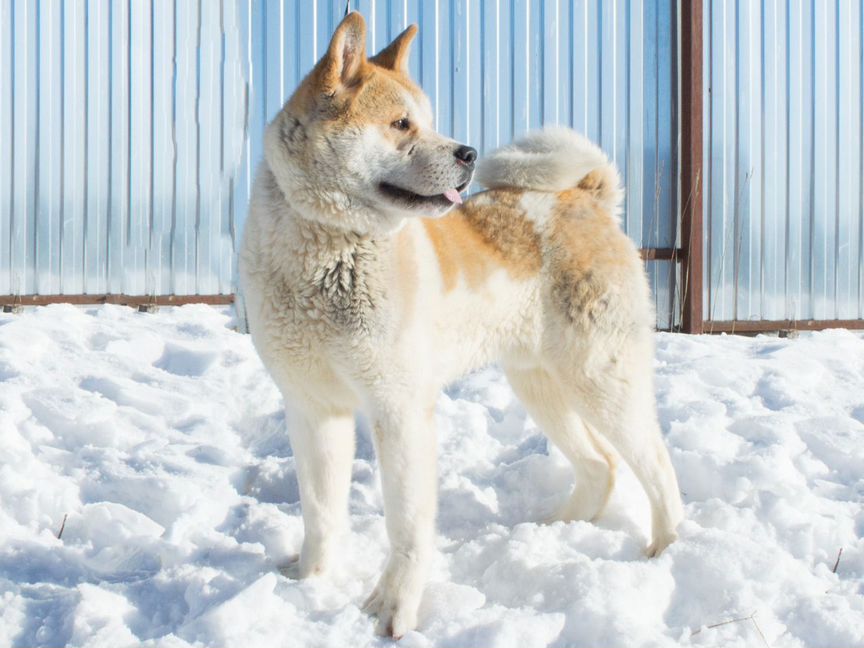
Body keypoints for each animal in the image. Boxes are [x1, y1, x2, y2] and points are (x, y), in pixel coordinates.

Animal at [240, 10, 684, 636]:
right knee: (601, 464)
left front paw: (394, 612)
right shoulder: (313, 410)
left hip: (601, 380)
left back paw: (666, 551)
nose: (469, 153)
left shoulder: (400, 410)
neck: (329, 247)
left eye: (426, 121)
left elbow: (406, 526)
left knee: (658, 464)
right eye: (401, 124)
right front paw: (310, 585)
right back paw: (556, 530)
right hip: (539, 385)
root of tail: (587, 197)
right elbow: (321, 513)